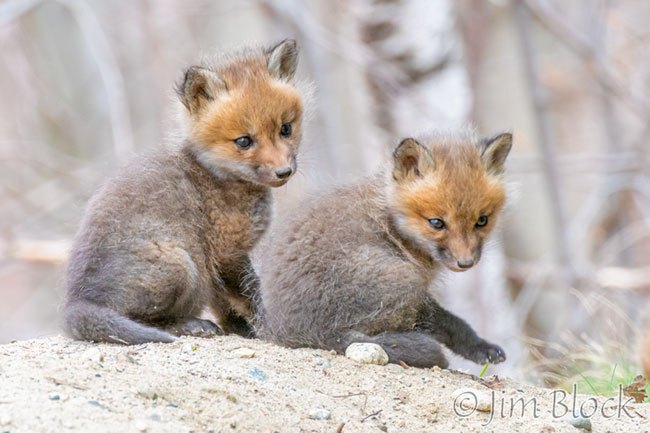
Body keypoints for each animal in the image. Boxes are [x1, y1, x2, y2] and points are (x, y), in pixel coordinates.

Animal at [63, 39, 306, 344]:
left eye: (285, 128)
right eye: (244, 141)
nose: (284, 172)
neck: (217, 175)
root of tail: (76, 303)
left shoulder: (216, 263)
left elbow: (226, 305)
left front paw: (242, 330)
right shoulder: (227, 252)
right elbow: (251, 296)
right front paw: (268, 328)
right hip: (181, 264)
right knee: (149, 321)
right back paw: (191, 326)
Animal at [256, 129, 512, 368]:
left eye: (482, 221)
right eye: (437, 223)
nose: (465, 263)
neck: (391, 220)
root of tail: (307, 332)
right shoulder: (417, 289)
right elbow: (450, 321)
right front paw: (480, 347)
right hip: (401, 279)